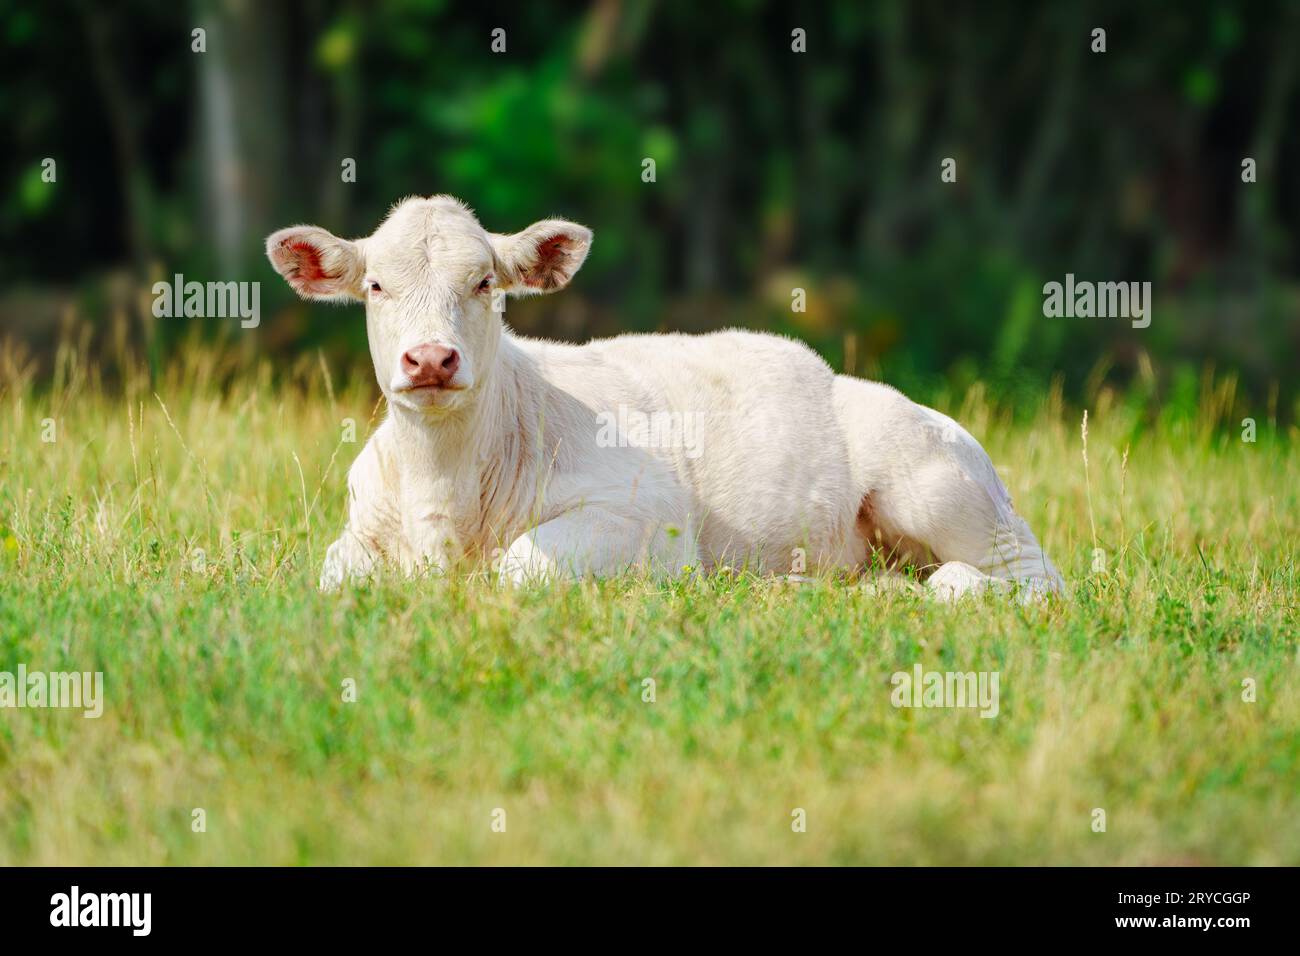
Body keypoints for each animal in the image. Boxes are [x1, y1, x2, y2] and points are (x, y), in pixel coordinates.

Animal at [266, 196, 1063, 599]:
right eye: (376, 286)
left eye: (484, 282)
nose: (431, 358)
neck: (446, 500)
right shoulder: (359, 531)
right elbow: (335, 576)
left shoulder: (645, 513)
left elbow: (520, 569)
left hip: (936, 489)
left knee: (1026, 580)